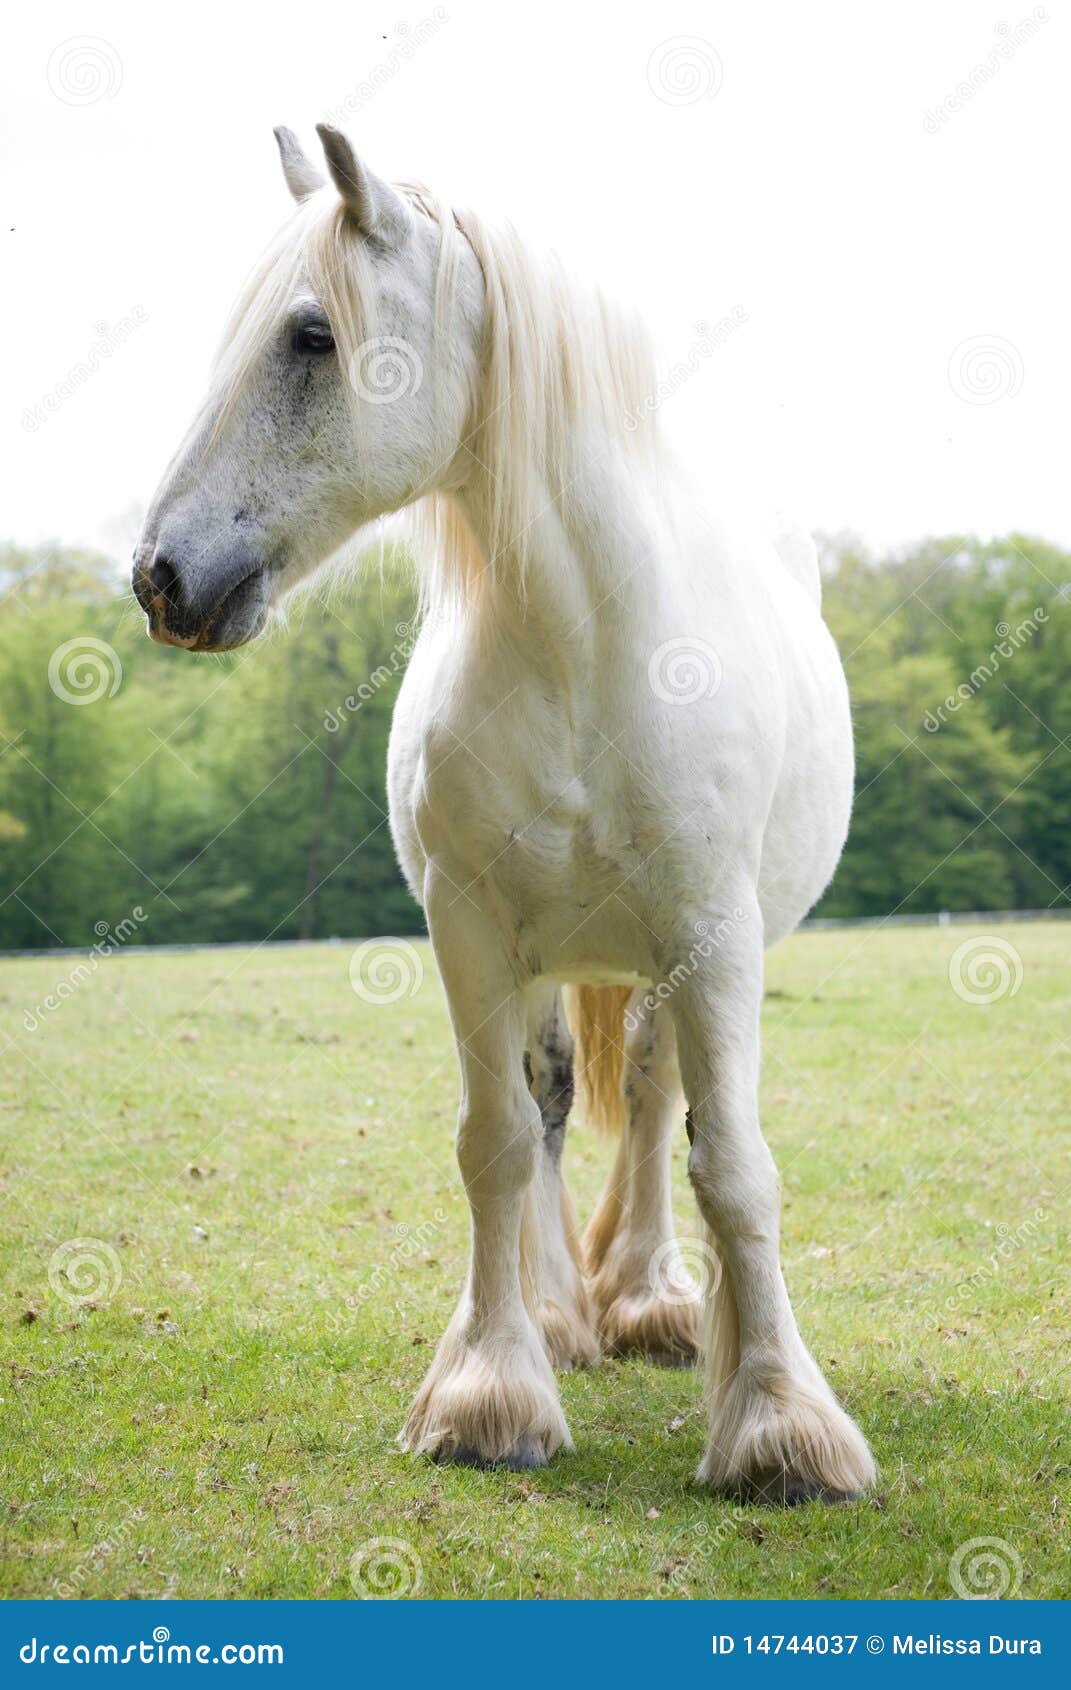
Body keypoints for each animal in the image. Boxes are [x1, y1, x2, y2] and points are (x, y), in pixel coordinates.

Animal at [132, 122, 876, 1504]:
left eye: (309, 335)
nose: (161, 576)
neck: (585, 646)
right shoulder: (470, 930)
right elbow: (494, 1142)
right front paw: (492, 1387)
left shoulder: (715, 936)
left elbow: (733, 1165)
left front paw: (781, 1423)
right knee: (544, 1110)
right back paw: (562, 1313)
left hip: (664, 961)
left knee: (656, 1101)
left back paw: (647, 1298)